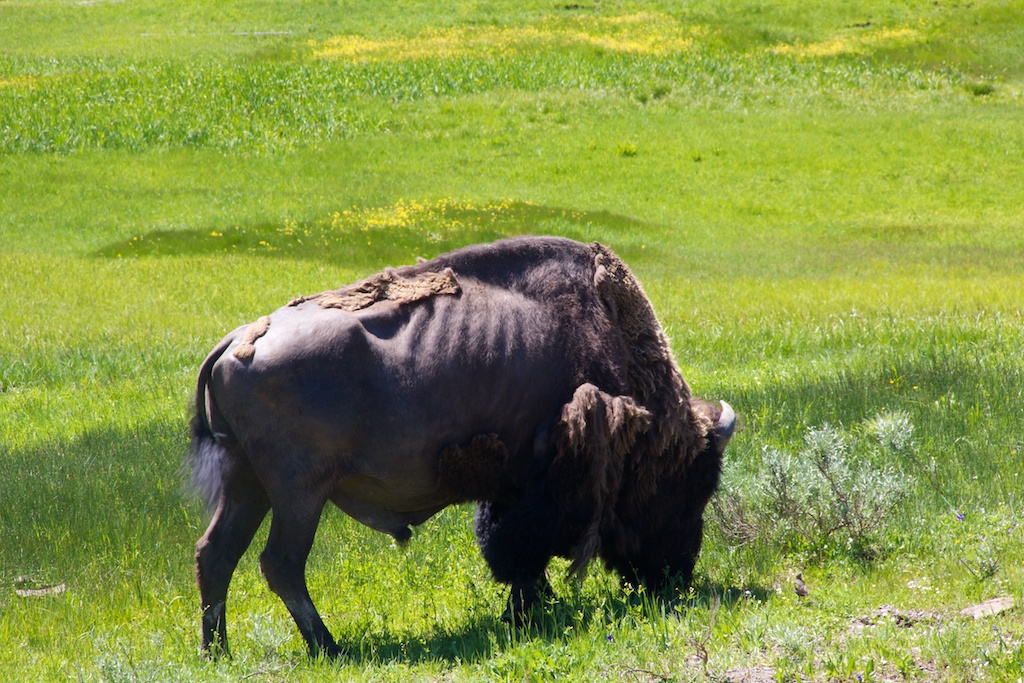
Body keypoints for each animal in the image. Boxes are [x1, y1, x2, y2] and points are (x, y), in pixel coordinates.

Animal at [190, 235, 735, 658]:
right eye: (690, 484)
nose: (676, 576)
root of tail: (237, 341)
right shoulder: (537, 488)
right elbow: (520, 549)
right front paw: (528, 613)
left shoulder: (510, 487)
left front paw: (530, 609)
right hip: (298, 492)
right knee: (281, 563)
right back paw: (329, 647)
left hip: (249, 484)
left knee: (216, 555)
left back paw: (218, 651)